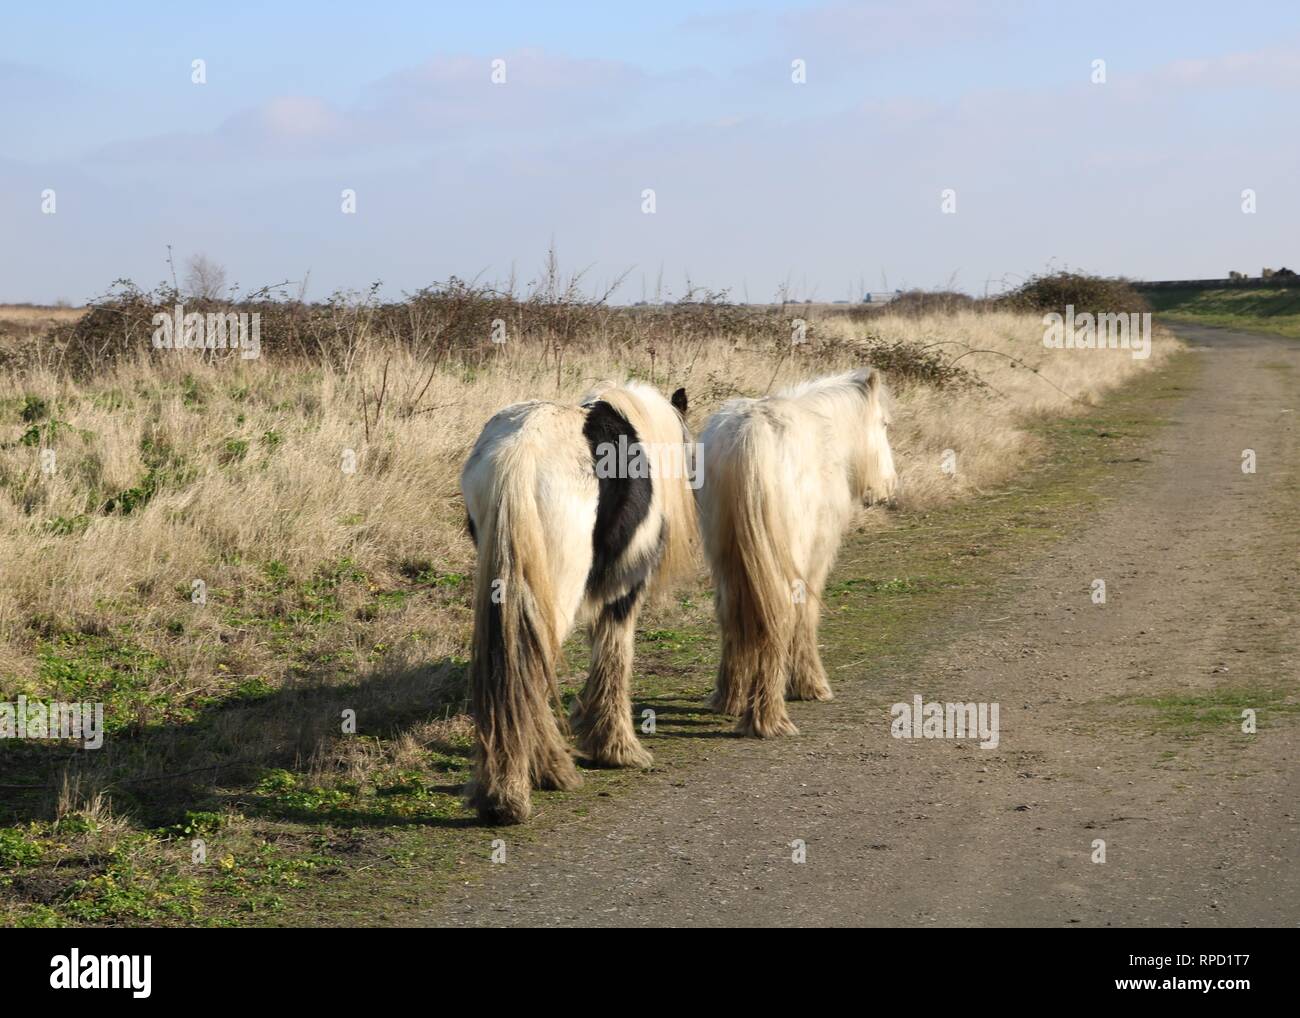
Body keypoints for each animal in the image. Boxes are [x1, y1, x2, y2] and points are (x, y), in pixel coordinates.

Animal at [460, 380, 697, 824]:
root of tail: (520, 453)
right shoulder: (626, 587)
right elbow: (615, 654)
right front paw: (616, 748)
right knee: (532, 670)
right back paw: (535, 780)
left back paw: (505, 789)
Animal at [695, 368, 897, 738]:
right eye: (884, 424)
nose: (890, 487)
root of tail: (751, 433)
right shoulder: (815, 559)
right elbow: (806, 616)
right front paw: (809, 685)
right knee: (780, 618)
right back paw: (768, 718)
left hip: (727, 562)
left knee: (732, 614)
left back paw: (731, 699)